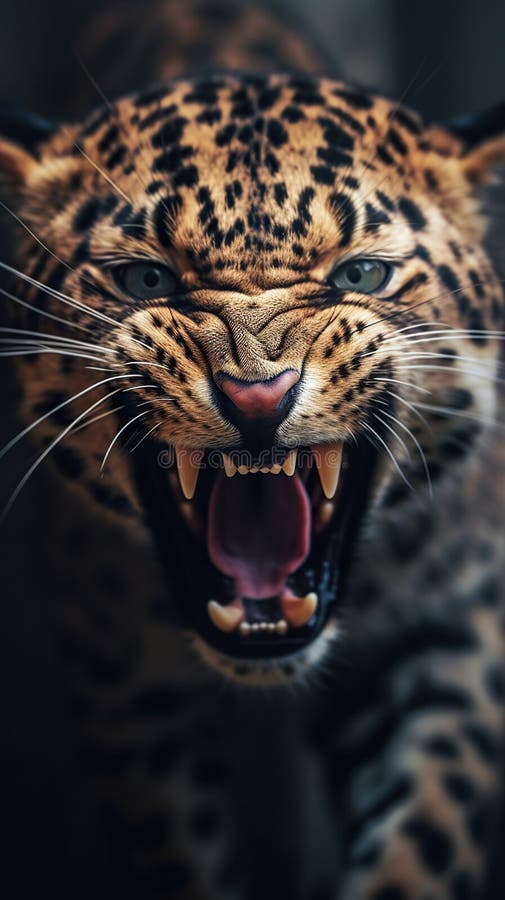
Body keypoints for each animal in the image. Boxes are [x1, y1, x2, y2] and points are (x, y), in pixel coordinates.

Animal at [1, 1, 505, 898]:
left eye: (361, 275)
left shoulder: (449, 630)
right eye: (146, 281)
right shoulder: (126, 685)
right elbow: (179, 855)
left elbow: (425, 832)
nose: (258, 397)